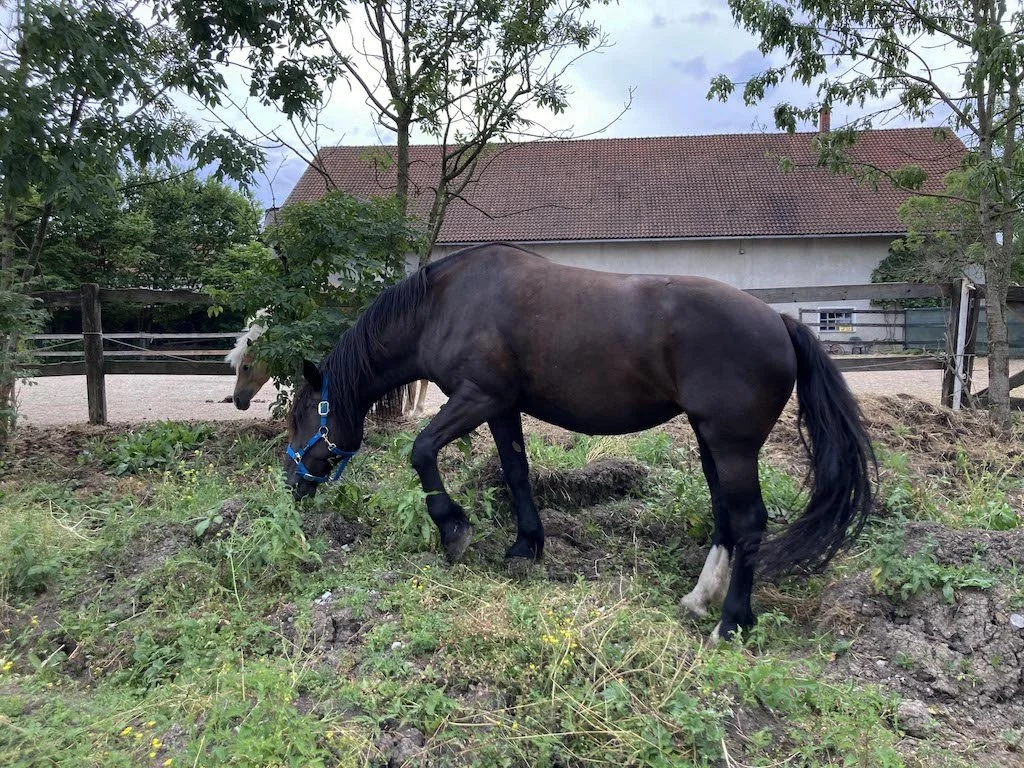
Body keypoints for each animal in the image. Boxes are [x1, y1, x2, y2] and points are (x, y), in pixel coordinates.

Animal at [283, 242, 874, 640]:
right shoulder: (502, 407)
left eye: (300, 414)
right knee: (727, 518)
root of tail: (779, 321)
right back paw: (701, 599)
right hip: (712, 442)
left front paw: (453, 529)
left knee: (749, 523)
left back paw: (731, 622)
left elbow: (422, 450)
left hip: (732, 446)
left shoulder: (478, 398)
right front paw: (526, 545)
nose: (292, 485)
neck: (447, 303)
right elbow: (516, 471)